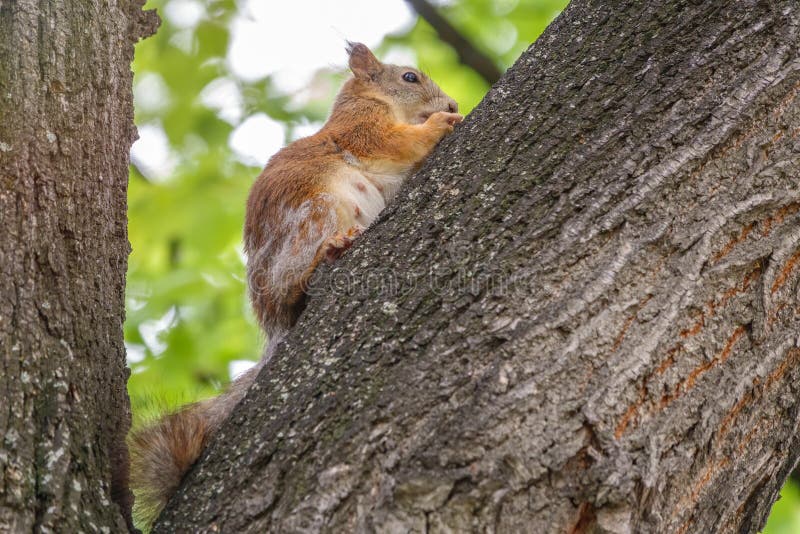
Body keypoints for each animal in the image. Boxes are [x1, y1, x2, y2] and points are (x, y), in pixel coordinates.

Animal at [129, 42, 462, 529]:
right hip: (314, 215)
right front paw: (441, 124)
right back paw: (329, 253)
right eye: (410, 78)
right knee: (298, 283)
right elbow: (395, 142)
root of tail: (275, 322)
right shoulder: (361, 129)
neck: (372, 101)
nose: (452, 104)